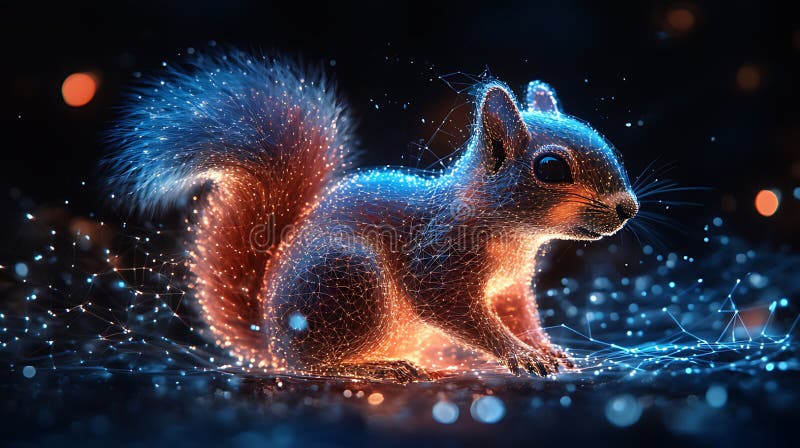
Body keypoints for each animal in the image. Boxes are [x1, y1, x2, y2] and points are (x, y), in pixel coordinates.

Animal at [106, 52, 638, 382]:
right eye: (551, 168)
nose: (628, 208)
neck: (511, 234)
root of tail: (272, 342)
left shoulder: (509, 289)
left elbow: (521, 319)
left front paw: (546, 350)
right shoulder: (440, 260)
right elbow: (453, 310)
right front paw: (519, 356)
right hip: (346, 281)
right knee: (311, 368)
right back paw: (375, 368)